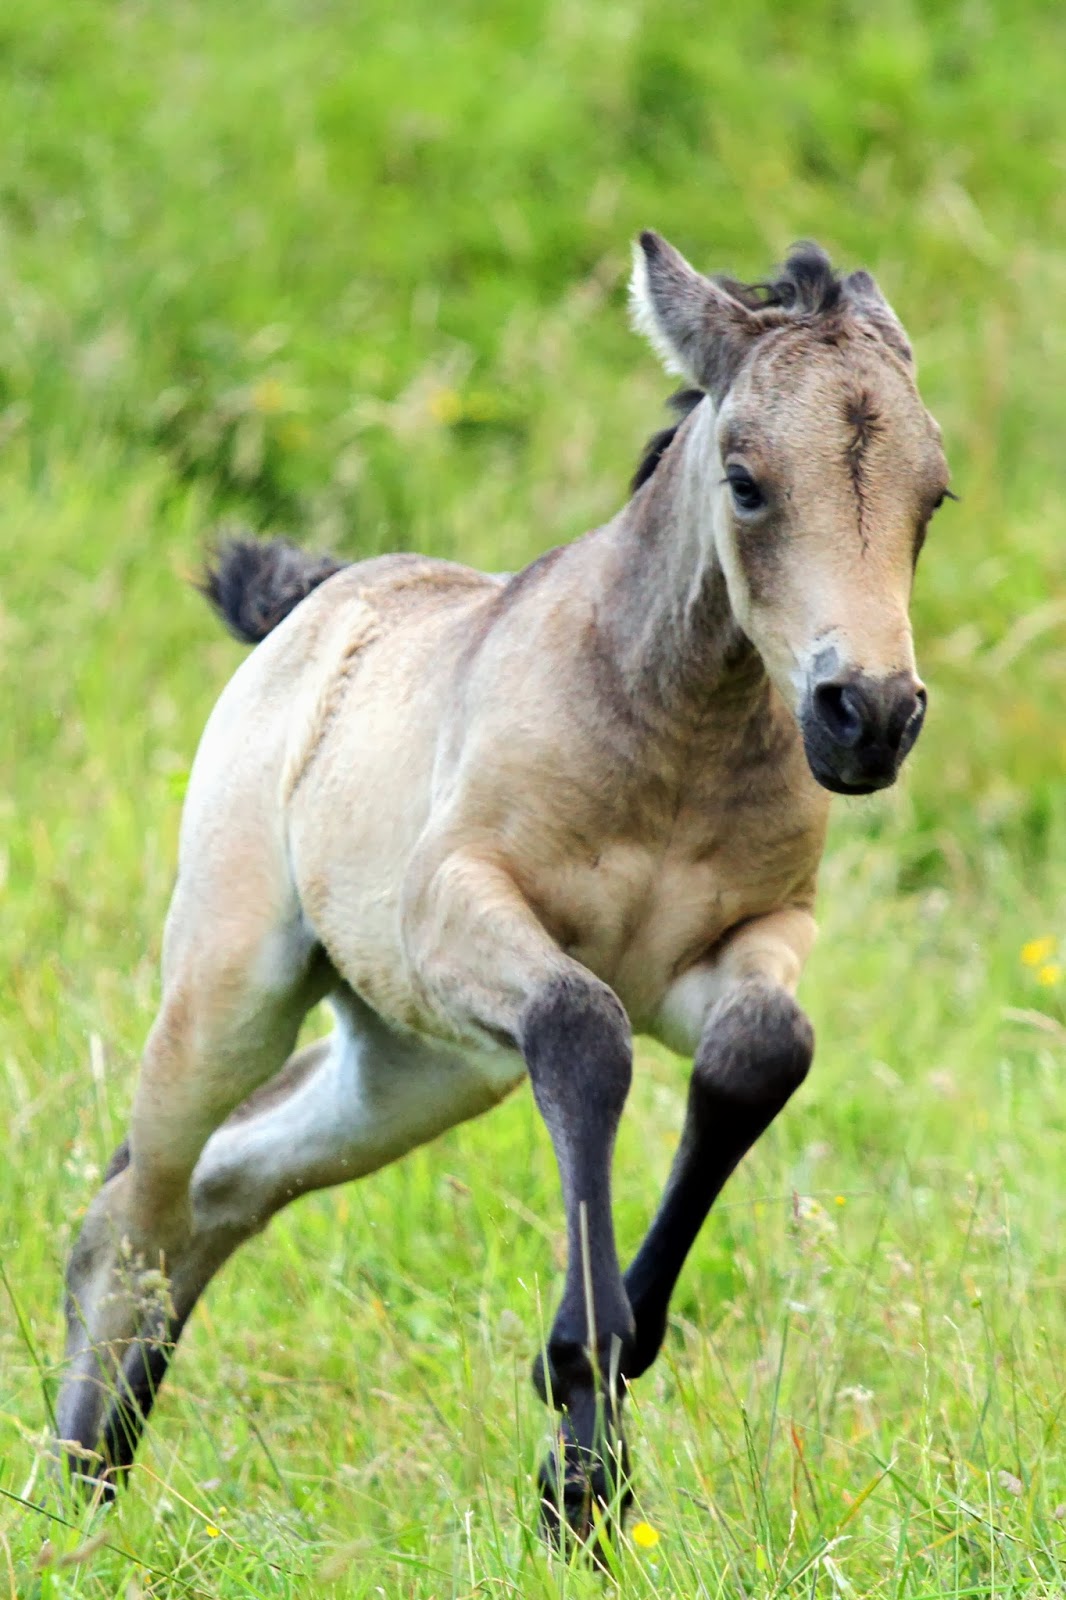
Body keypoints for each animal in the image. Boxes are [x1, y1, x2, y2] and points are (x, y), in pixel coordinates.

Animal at [56, 231, 952, 1545]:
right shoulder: (459, 915)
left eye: (931, 495)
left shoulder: (744, 941)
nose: (869, 717)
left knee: (227, 1183)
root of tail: (316, 604)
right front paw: (582, 1443)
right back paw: (69, 1488)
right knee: (133, 1212)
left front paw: (586, 1441)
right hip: (233, 986)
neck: (670, 738)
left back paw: (100, 1473)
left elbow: (758, 1056)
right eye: (745, 482)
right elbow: (584, 1036)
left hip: (418, 1066)